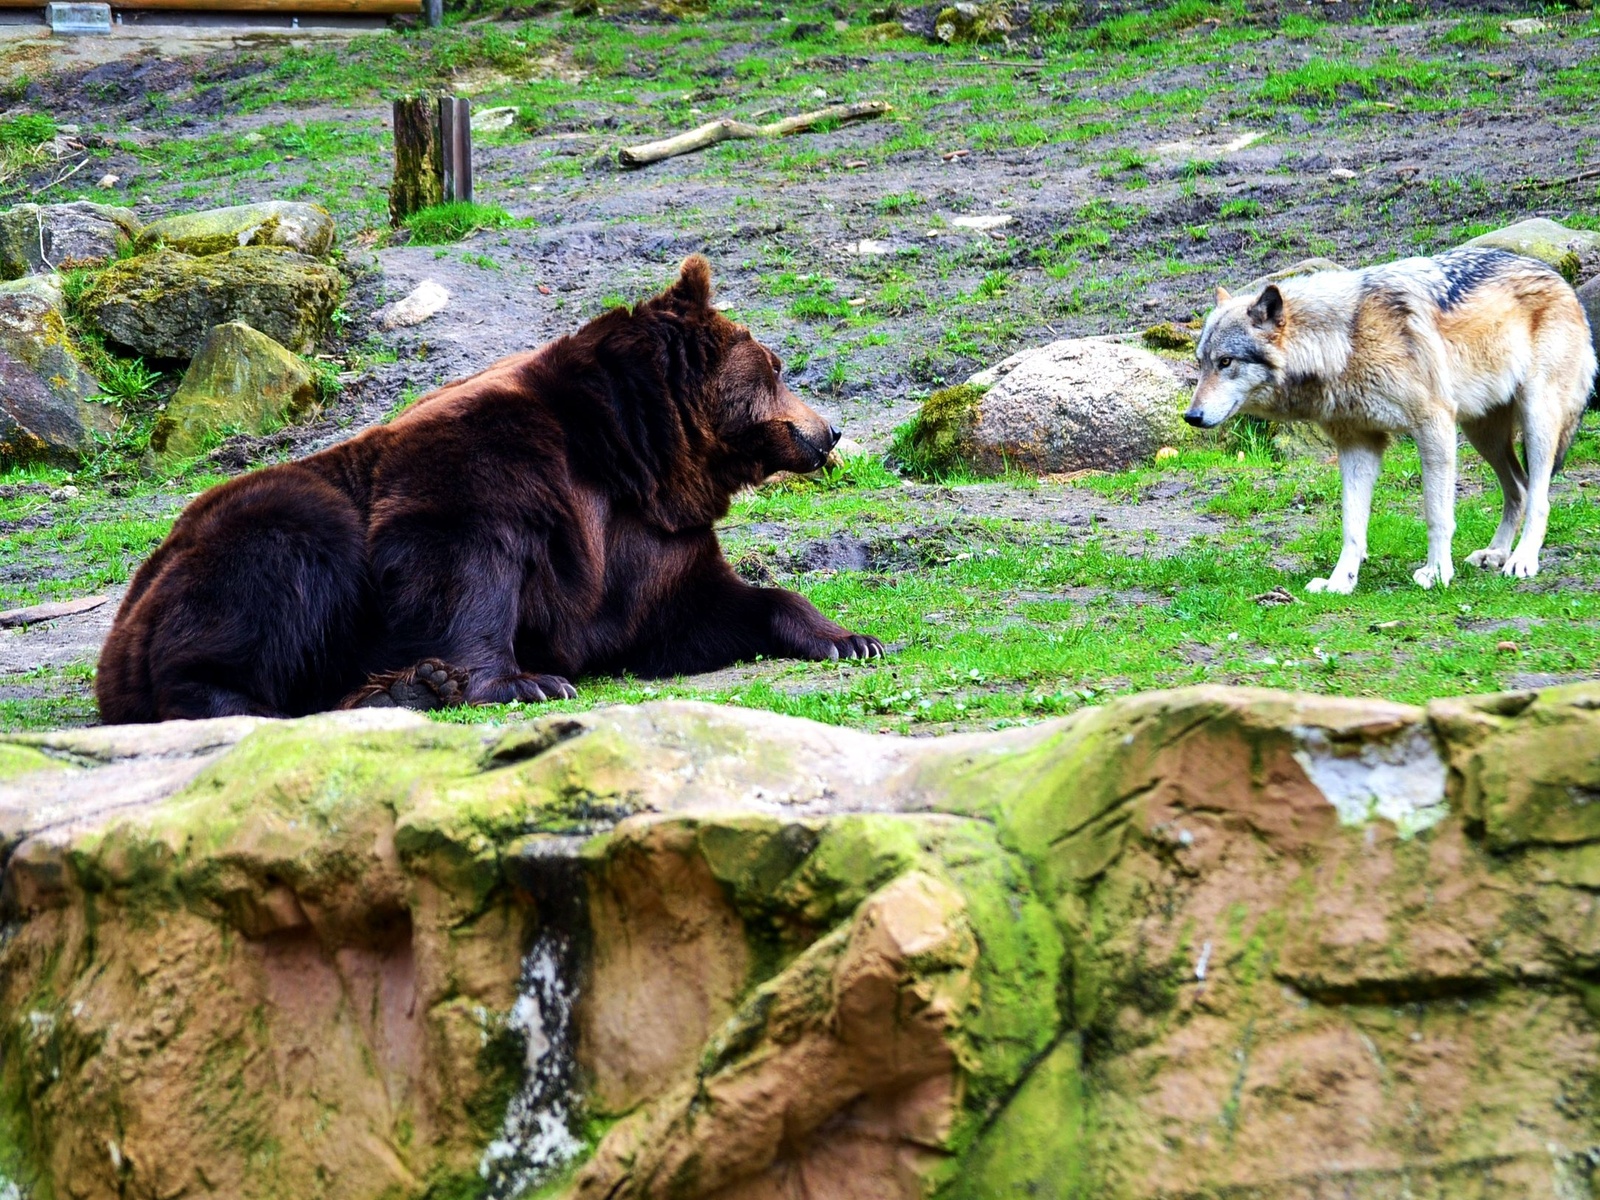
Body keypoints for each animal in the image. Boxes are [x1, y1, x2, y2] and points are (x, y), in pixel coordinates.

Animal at [1185, 248, 1597, 593]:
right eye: (1201, 363)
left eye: (1226, 362)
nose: (1191, 416)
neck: (1344, 341)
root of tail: (1560, 280)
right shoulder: (1357, 444)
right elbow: (1351, 525)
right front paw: (1340, 582)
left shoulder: (1433, 426)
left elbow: (1437, 513)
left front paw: (1437, 572)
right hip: (1482, 433)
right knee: (1519, 488)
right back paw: (1495, 554)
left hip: (1535, 418)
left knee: (1540, 494)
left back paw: (1522, 560)